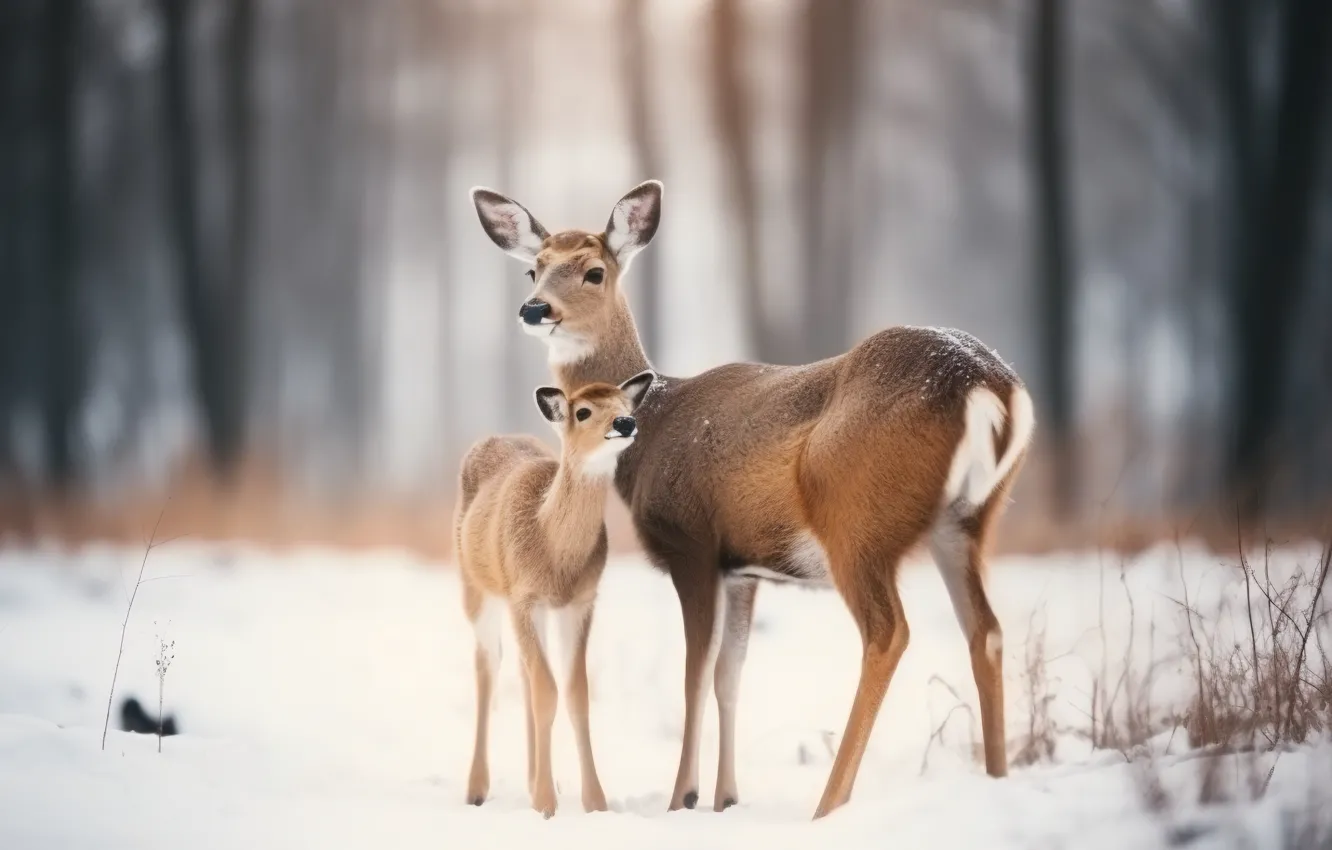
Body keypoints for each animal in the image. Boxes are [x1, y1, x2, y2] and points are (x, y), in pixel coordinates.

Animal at [453, 371, 656, 818]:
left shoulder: (580, 601)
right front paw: (546, 805)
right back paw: (476, 789)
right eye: (583, 412)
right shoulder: (522, 595)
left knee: (523, 672)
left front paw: (594, 802)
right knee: (487, 665)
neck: (554, 552)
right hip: (476, 585)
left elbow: (575, 691)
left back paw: (533, 780)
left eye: (625, 406)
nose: (625, 424)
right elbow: (547, 691)